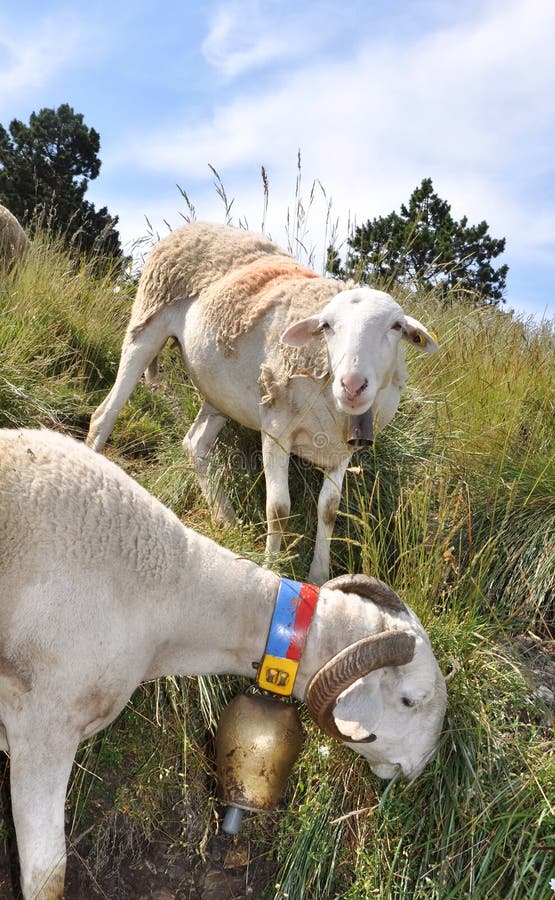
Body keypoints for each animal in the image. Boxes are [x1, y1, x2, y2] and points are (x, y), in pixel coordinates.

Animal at [87, 222, 439, 585]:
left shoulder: (342, 450)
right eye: (326, 326)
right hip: (147, 324)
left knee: (194, 443)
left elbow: (329, 509)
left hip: (220, 391)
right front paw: (273, 568)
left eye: (396, 327)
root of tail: (195, 226)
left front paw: (318, 576)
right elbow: (279, 509)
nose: (352, 385)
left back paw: (225, 517)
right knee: (104, 415)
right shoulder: (276, 428)